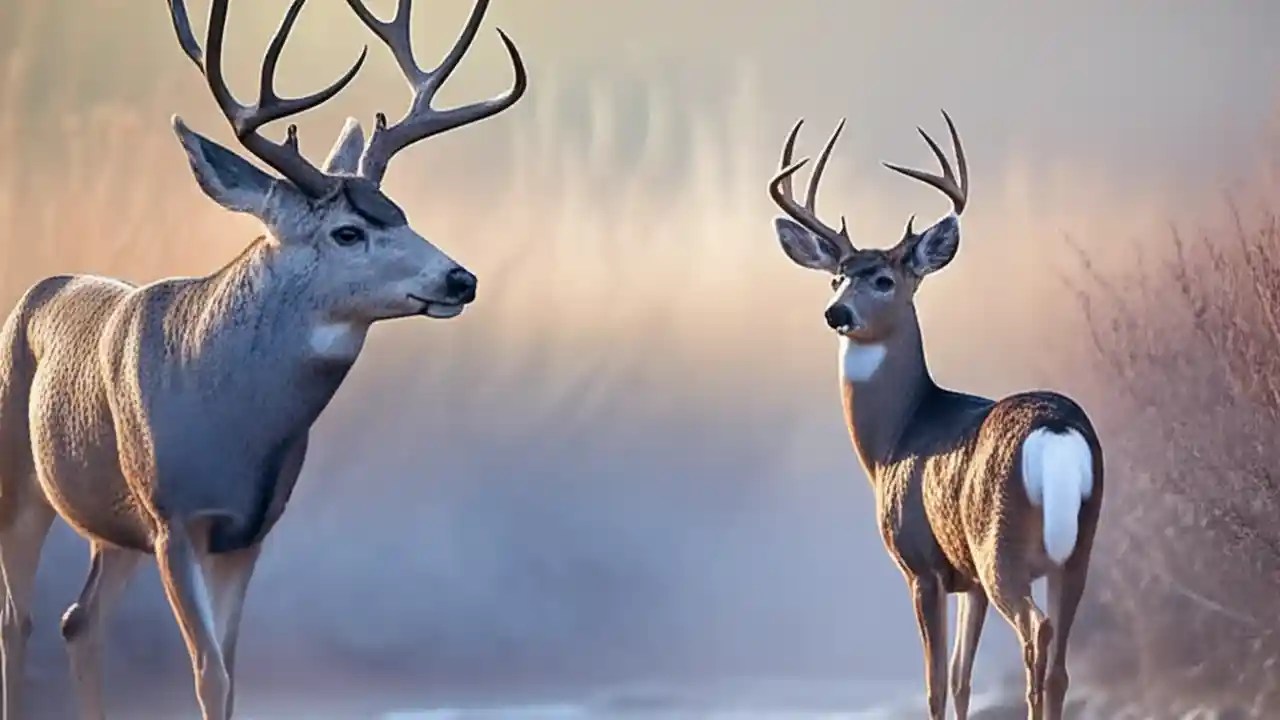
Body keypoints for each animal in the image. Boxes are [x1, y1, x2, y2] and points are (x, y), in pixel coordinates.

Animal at [0, 0, 526, 717]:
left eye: (405, 216)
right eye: (348, 231)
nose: (460, 280)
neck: (230, 425)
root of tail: (41, 287)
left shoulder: (250, 530)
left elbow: (229, 670)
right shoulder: (173, 518)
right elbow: (209, 672)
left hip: (113, 526)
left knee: (79, 620)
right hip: (20, 480)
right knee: (18, 619)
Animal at [766, 112, 1103, 720]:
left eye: (884, 279)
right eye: (835, 277)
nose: (836, 313)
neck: (895, 438)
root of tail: (1057, 430)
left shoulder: (921, 565)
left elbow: (935, 684)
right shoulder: (965, 579)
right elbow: (962, 679)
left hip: (1001, 545)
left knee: (1036, 633)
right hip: (1078, 549)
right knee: (1060, 663)